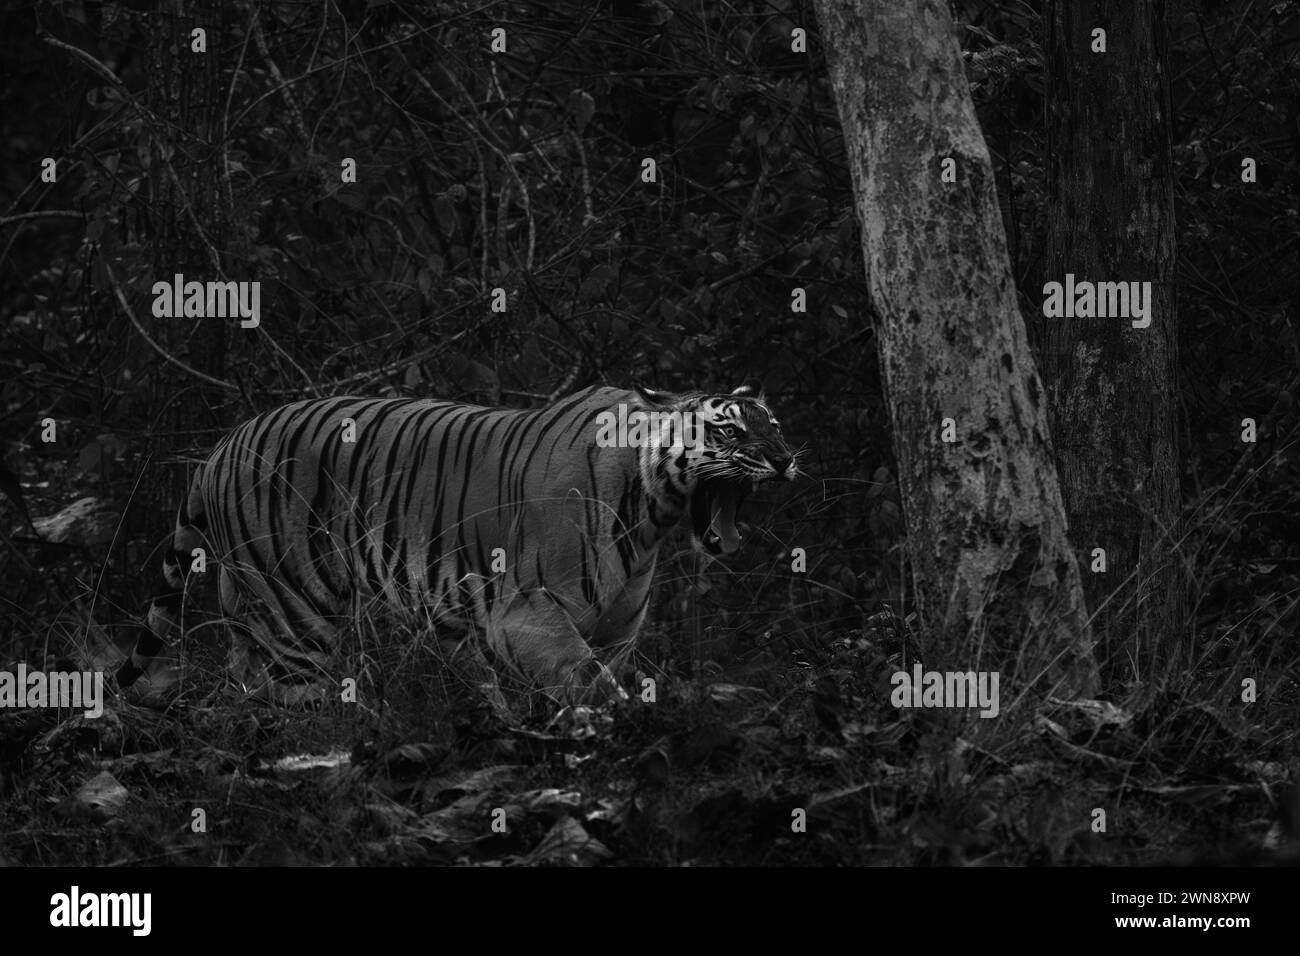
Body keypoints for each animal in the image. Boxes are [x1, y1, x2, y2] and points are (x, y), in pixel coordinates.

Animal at [114, 383, 797, 705]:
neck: (650, 514)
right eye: (730, 429)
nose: (786, 458)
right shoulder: (524, 616)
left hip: (251, 605)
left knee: (243, 680)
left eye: (775, 424)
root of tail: (221, 446)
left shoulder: (617, 631)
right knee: (291, 699)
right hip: (295, 614)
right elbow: (591, 684)